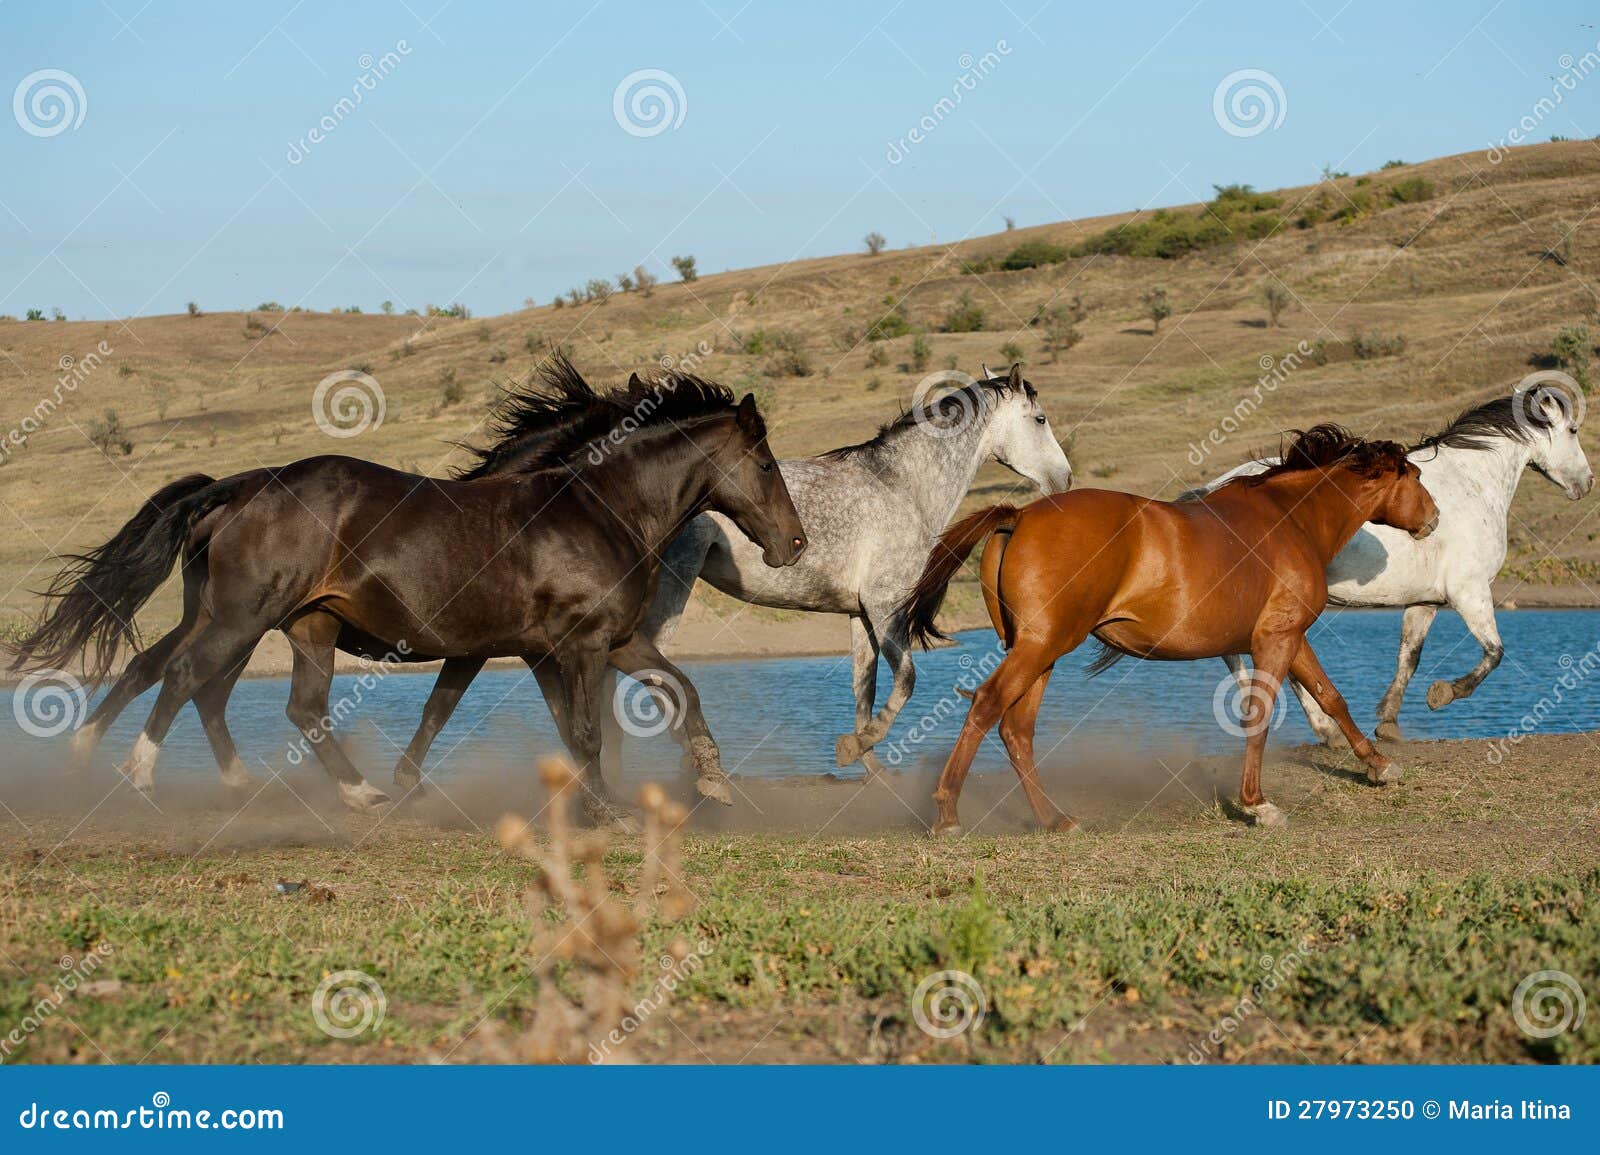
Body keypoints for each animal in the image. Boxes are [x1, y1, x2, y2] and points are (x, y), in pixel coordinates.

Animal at [9, 362, 806, 826]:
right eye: (766, 462)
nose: (794, 544)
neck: (601, 508)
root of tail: (243, 486)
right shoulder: (575, 646)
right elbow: (581, 731)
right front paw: (610, 810)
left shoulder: (596, 643)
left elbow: (675, 692)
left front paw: (710, 784)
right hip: (242, 618)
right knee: (182, 676)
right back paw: (138, 776)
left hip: (302, 626)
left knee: (285, 703)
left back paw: (354, 793)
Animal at [387, 362, 1074, 795]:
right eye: (1040, 419)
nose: (1064, 481)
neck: (901, 487)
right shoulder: (886, 609)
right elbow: (904, 683)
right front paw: (854, 754)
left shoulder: (861, 617)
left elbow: (865, 693)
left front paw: (869, 767)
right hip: (663, 597)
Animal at [895, 425, 1440, 835]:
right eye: (1415, 475)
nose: (1433, 518)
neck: (1292, 520)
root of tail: (1020, 517)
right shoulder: (1276, 639)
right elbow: (1262, 714)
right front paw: (1257, 804)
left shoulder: (1291, 638)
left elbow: (1332, 698)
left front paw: (1380, 766)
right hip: (1040, 646)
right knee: (988, 706)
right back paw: (947, 813)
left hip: (1041, 651)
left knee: (1016, 729)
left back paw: (1054, 819)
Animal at [1183, 382, 1591, 744]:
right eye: (1572, 430)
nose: (1586, 484)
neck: (1472, 483)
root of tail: (1208, 493)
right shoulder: (1469, 592)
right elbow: (1494, 653)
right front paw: (1441, 694)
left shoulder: (1426, 601)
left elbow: (1409, 658)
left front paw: (1389, 723)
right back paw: (1325, 731)